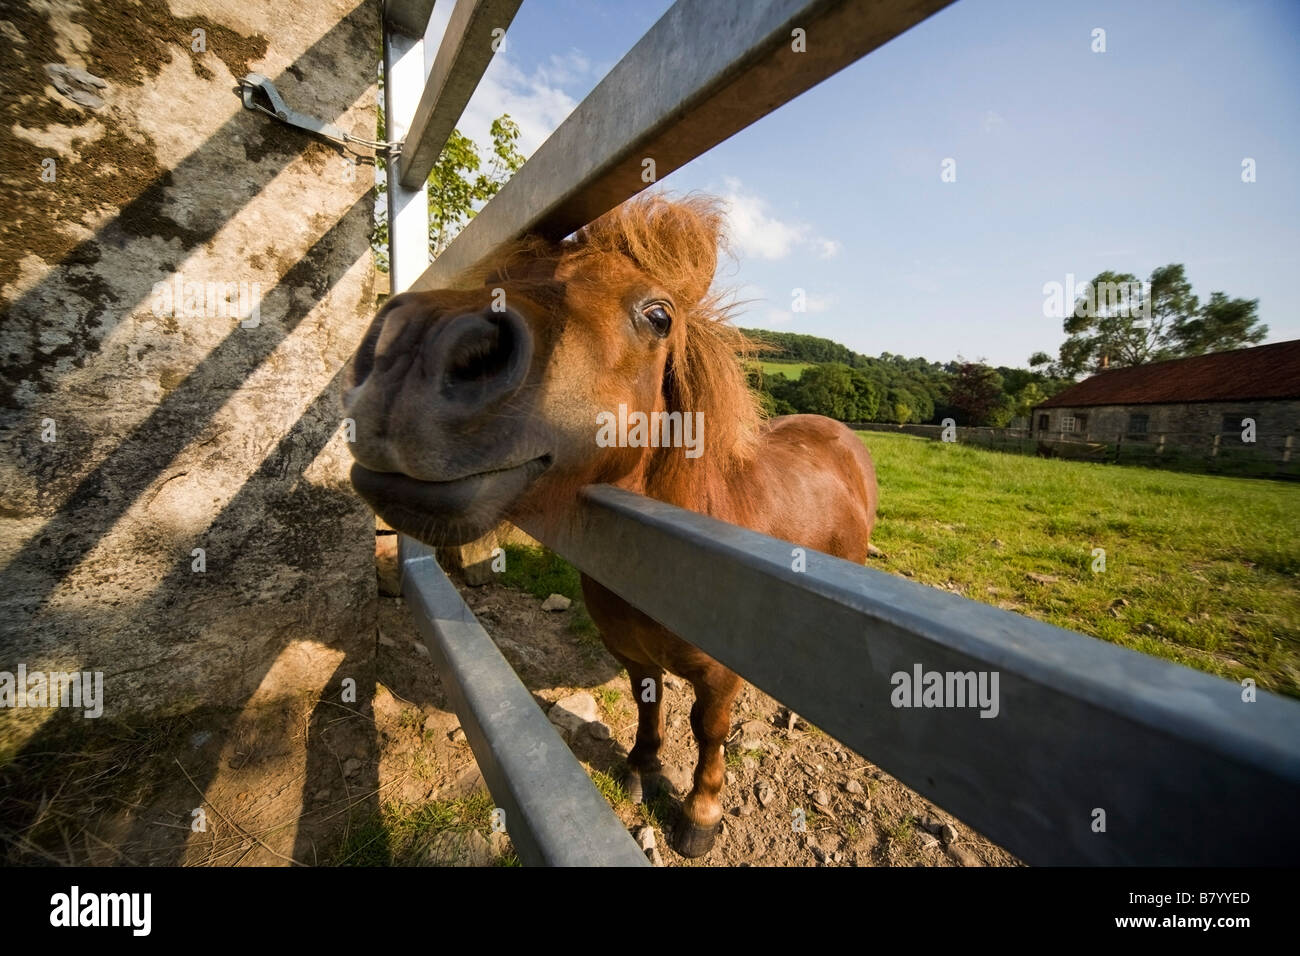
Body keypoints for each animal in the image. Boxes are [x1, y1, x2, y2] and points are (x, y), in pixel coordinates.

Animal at [343, 194, 878, 858]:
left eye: (659, 316)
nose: (412, 346)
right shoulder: (633, 653)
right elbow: (649, 705)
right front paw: (641, 769)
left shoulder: (719, 678)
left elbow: (710, 730)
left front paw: (700, 814)